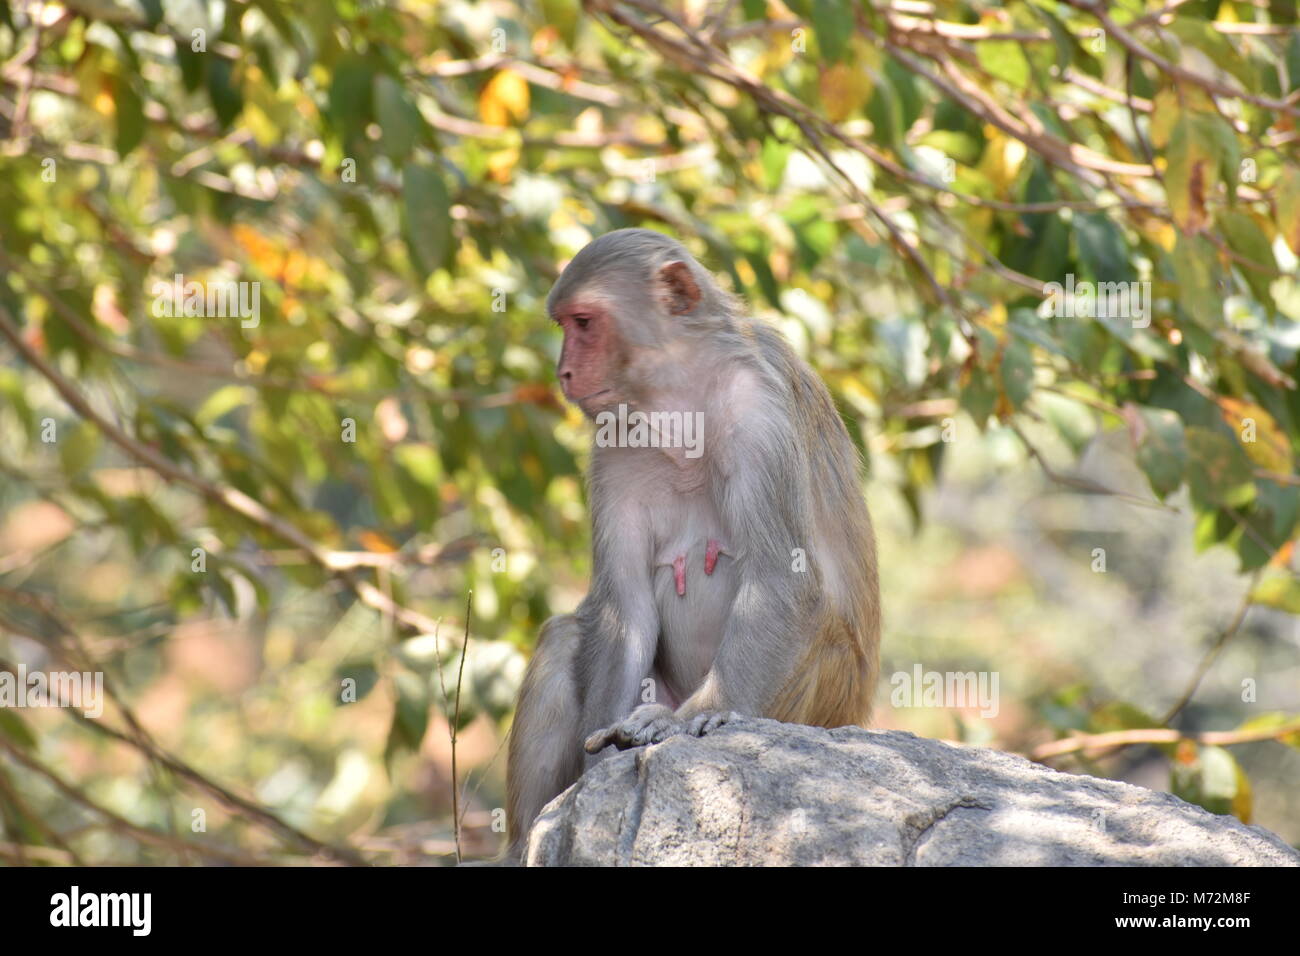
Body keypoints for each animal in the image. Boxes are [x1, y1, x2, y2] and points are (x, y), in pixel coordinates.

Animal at [505, 228, 880, 857]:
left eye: (583, 322)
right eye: (564, 325)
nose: (563, 373)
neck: (683, 399)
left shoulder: (758, 416)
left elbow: (781, 579)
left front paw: (685, 724)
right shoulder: (614, 439)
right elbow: (624, 607)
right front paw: (595, 778)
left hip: (821, 702)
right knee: (565, 638)